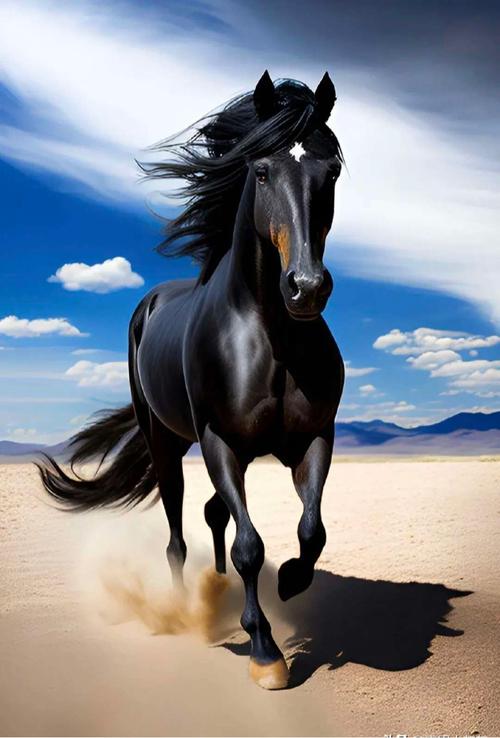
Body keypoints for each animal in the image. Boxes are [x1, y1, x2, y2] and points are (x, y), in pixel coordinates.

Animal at [38, 71, 345, 690]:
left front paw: (290, 581)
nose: (306, 288)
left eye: (332, 172)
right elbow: (251, 545)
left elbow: (311, 531)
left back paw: (219, 589)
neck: (271, 335)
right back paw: (184, 609)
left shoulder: (314, 437)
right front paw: (265, 652)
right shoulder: (218, 440)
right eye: (261, 170)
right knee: (178, 532)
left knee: (211, 513)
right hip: (167, 442)